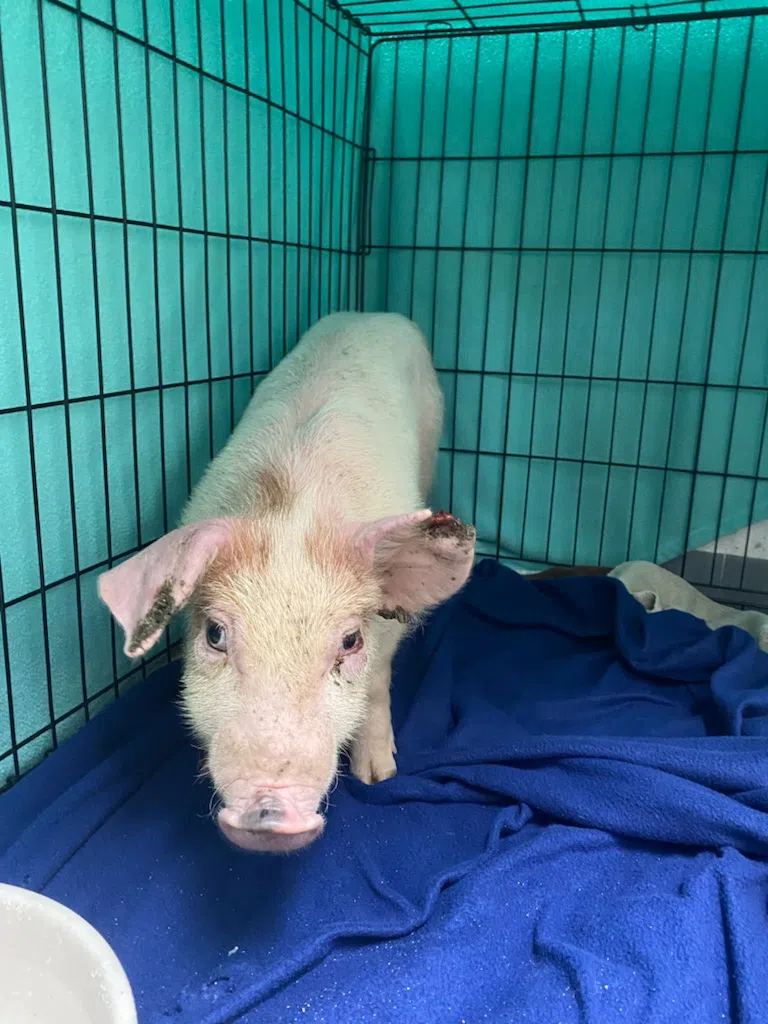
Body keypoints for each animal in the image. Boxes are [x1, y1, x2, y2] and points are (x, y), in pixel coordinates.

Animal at [97, 312, 476, 853]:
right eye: (214, 634)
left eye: (350, 640)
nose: (270, 812)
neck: (292, 513)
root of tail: (372, 312)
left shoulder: (386, 639)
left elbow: (375, 688)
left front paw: (378, 777)